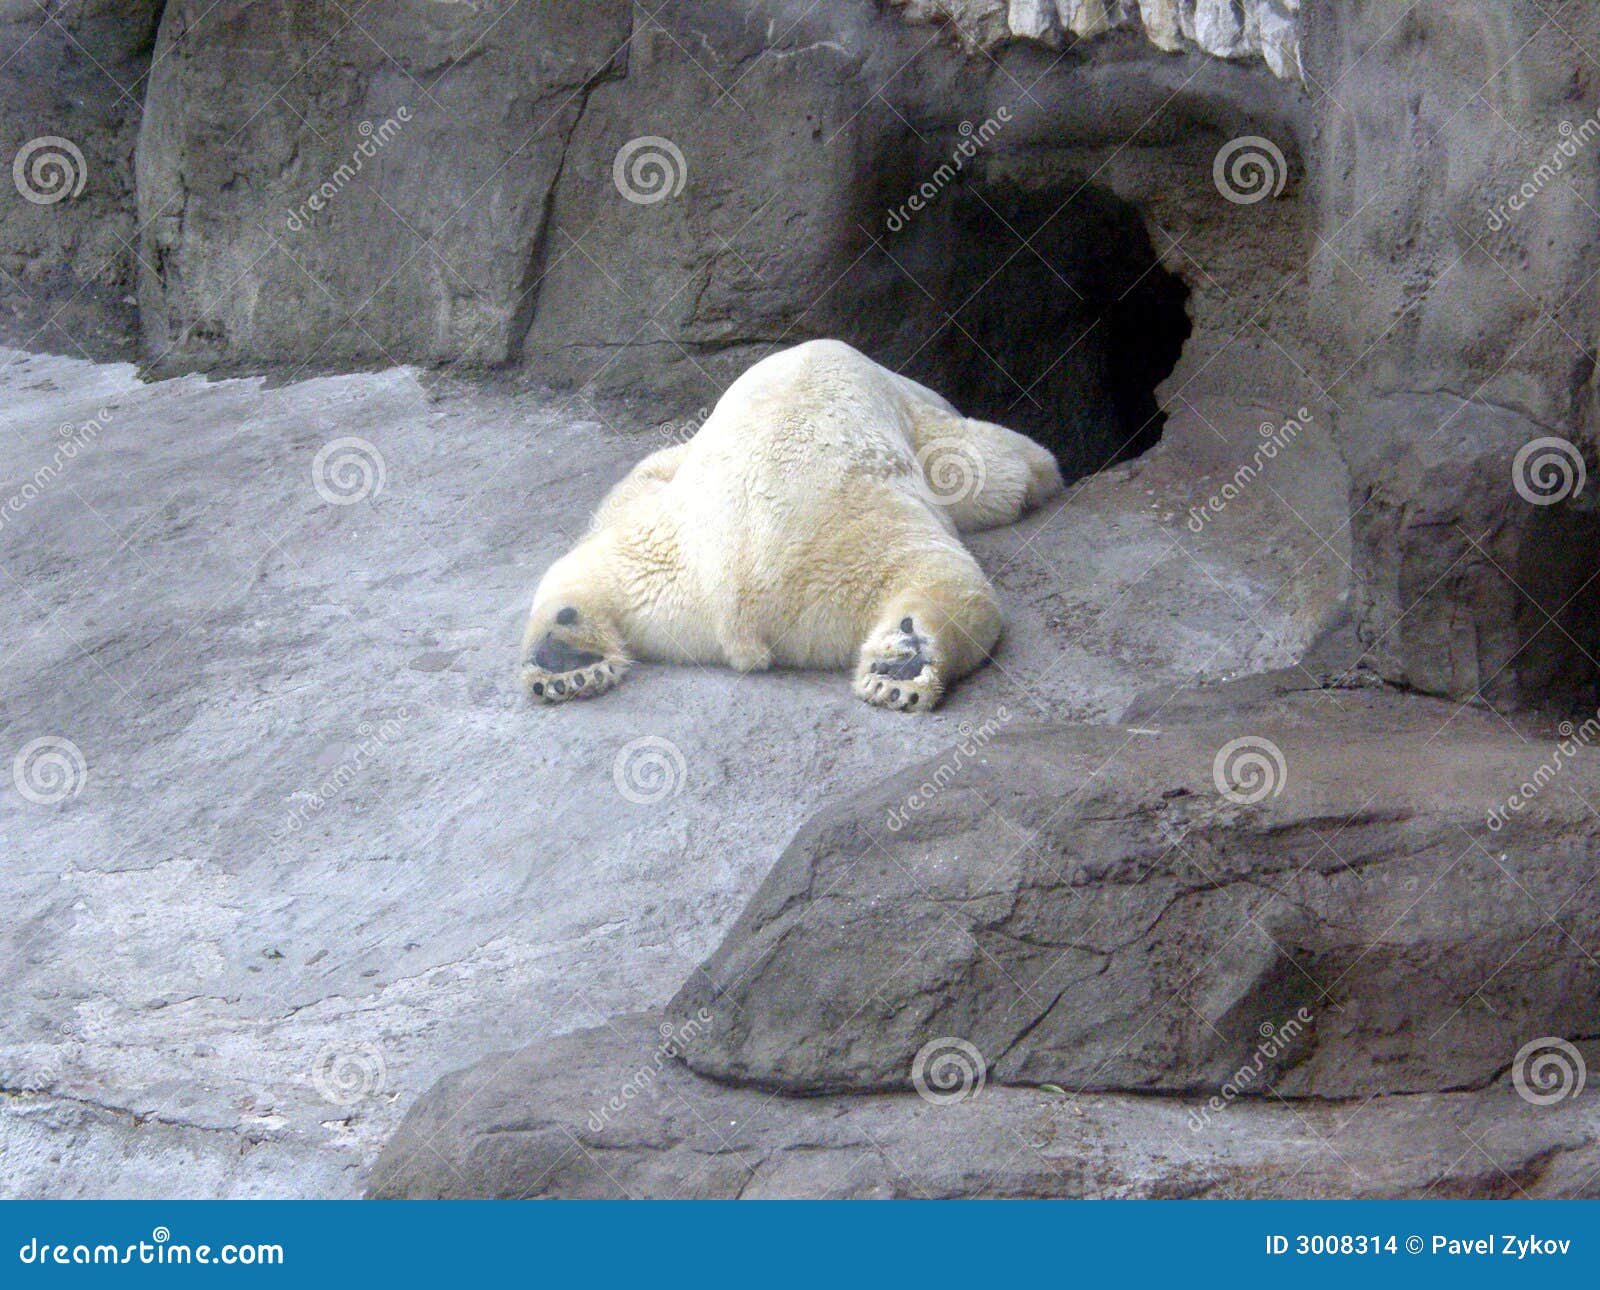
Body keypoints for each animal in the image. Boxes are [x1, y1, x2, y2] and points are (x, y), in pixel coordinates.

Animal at [520, 339, 1063, 712]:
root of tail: (732, 602)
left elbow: (638, 482)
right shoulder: (918, 419)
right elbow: (991, 466)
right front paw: (1045, 476)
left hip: (657, 564)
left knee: (581, 571)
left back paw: (565, 658)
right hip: (854, 549)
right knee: (950, 581)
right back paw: (901, 666)